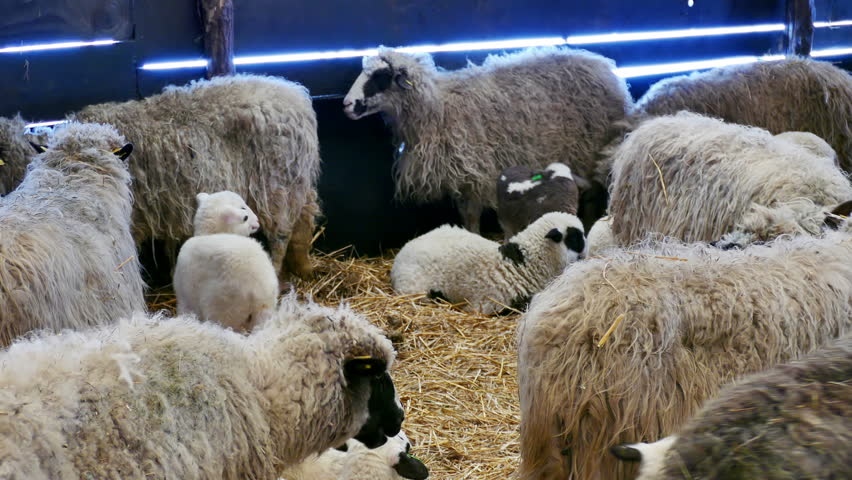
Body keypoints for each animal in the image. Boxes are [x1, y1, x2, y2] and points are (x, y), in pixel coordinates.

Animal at [70, 73, 321, 279]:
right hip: (296, 180)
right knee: (305, 220)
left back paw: (278, 272)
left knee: (281, 236)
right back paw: (304, 267)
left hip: (277, 187)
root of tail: (296, 98)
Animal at [174, 191, 278, 333]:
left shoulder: (186, 296)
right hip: (265, 310)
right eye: (243, 210)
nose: (257, 221)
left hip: (223, 309)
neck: (209, 233)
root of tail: (258, 294)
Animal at [343, 46, 633, 233]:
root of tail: (600, 64)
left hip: (589, 151)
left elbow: (473, 216)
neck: (439, 110)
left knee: (593, 194)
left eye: (381, 77)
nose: (346, 104)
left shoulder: (477, 174)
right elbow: (465, 217)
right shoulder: (461, 179)